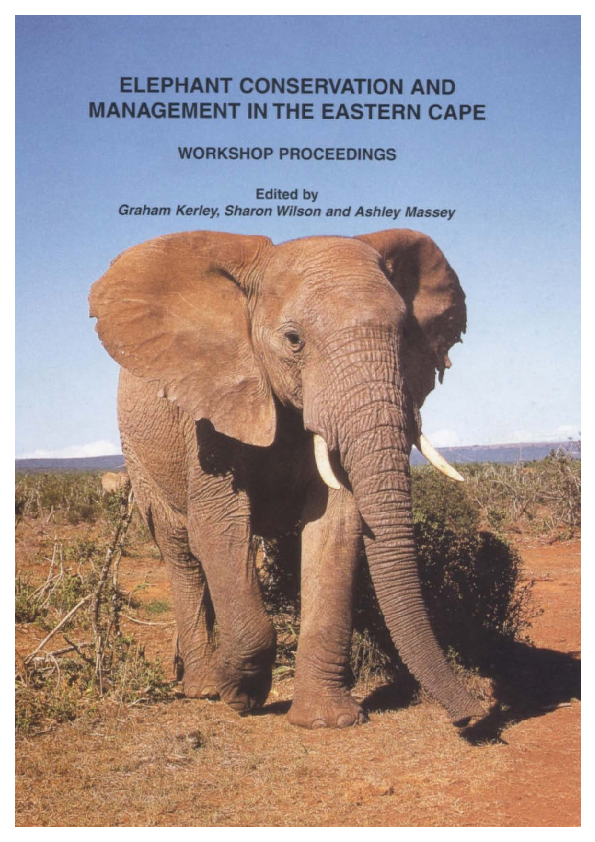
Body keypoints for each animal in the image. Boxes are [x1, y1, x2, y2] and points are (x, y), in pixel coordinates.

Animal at [89, 227, 484, 729]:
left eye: (404, 336)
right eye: (294, 340)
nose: (470, 717)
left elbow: (336, 527)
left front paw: (327, 721)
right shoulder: (211, 414)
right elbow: (217, 527)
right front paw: (240, 694)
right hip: (139, 456)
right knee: (181, 552)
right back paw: (201, 686)